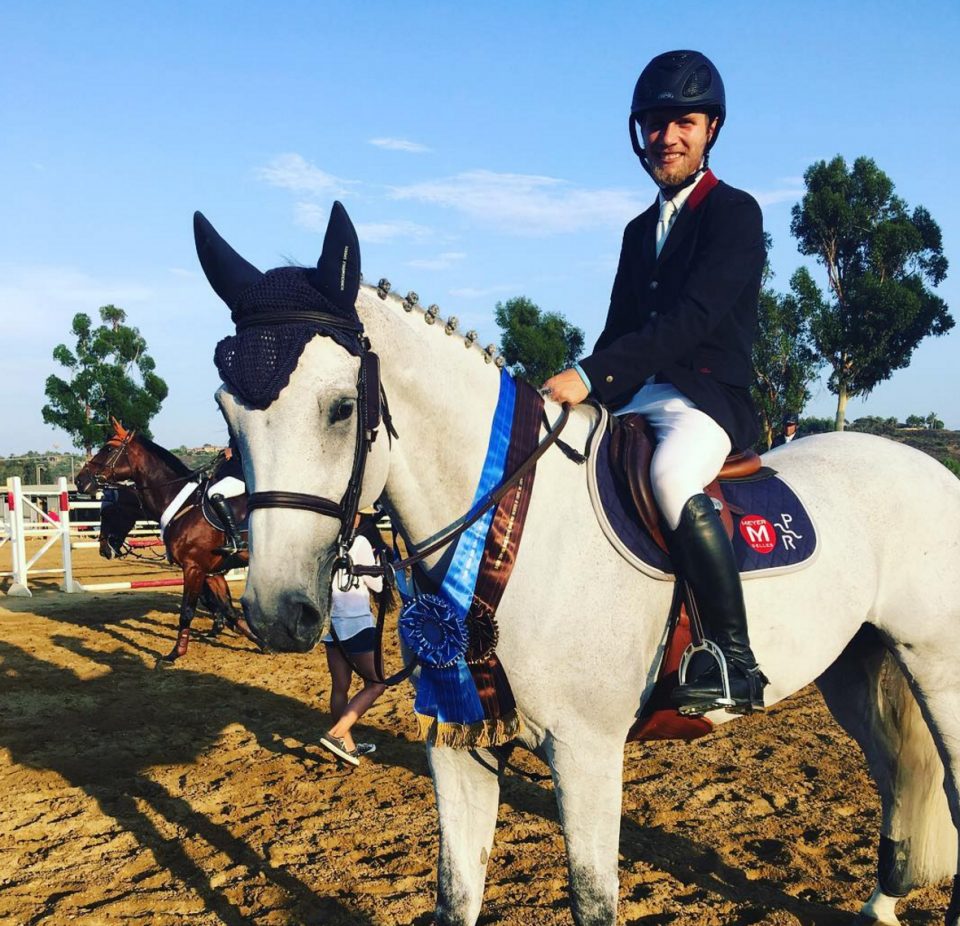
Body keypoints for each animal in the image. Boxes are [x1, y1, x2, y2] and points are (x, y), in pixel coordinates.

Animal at [76, 422, 262, 662]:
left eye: (108, 448)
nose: (80, 480)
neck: (181, 503)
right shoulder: (212, 572)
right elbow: (228, 610)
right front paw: (260, 641)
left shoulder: (193, 568)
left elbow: (187, 611)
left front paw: (176, 652)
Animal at [201, 204, 960, 926]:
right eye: (227, 412)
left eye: (341, 407)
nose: (276, 614)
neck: (515, 529)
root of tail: (925, 464)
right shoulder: (456, 743)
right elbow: (456, 898)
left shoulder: (586, 752)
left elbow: (593, 902)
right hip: (855, 665)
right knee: (896, 772)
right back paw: (882, 903)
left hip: (936, 666)